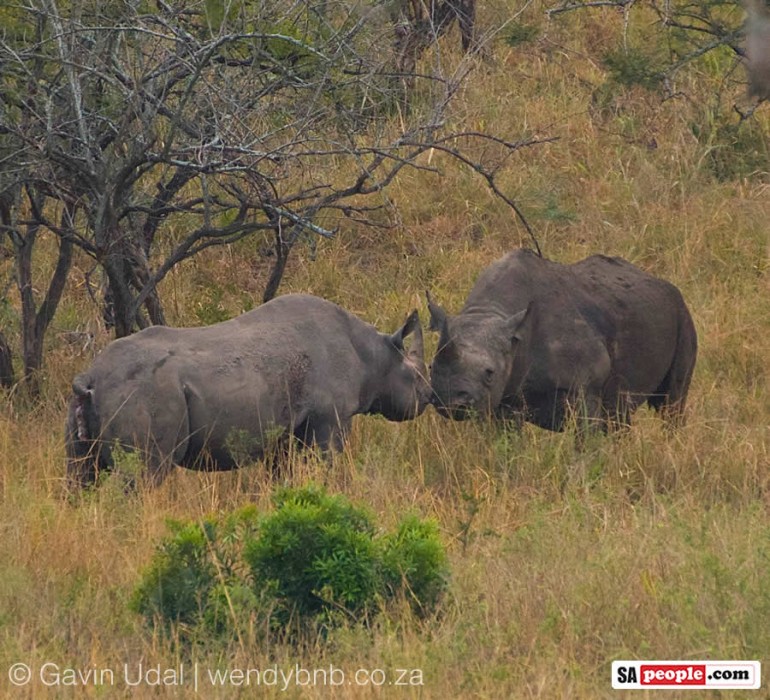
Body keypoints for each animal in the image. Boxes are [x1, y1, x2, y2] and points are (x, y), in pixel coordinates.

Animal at [66, 293, 430, 489]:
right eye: (415, 376)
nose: (429, 396)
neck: (375, 354)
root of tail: (91, 376)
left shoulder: (285, 432)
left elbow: (284, 475)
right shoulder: (330, 420)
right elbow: (325, 465)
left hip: (84, 405)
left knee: (80, 476)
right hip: (144, 393)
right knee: (141, 478)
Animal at [427, 249, 697, 430]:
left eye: (489, 373)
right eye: (431, 368)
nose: (451, 402)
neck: (492, 310)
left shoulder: (586, 385)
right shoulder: (505, 399)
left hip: (683, 314)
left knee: (672, 402)